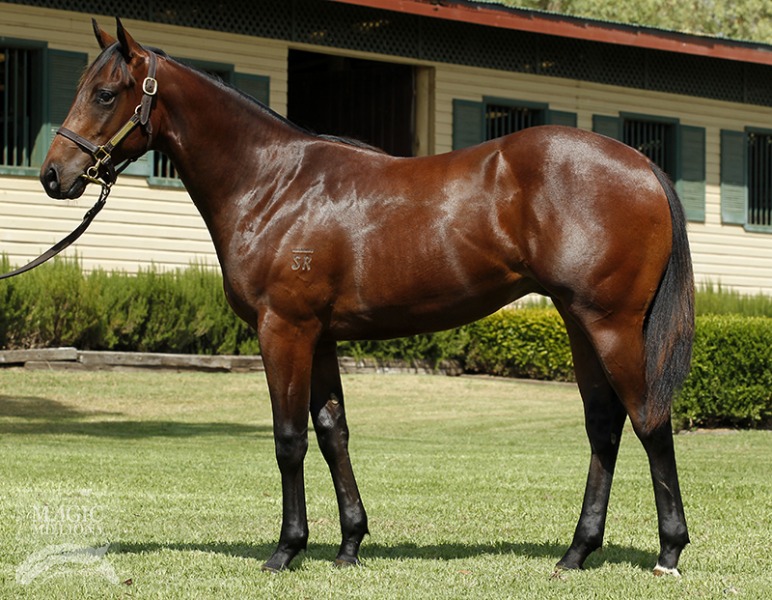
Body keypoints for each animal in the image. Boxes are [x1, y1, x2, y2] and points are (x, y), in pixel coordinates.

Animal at [40, 19, 694, 576]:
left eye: (105, 93)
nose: (54, 175)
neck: (273, 185)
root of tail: (641, 165)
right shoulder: (321, 336)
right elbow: (333, 433)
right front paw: (350, 544)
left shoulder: (284, 330)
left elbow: (289, 439)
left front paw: (286, 549)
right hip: (579, 322)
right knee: (604, 424)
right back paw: (577, 552)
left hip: (611, 324)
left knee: (648, 418)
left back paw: (669, 551)